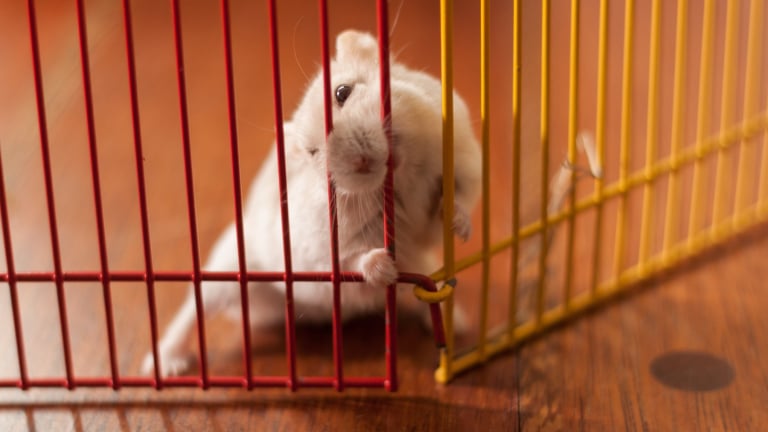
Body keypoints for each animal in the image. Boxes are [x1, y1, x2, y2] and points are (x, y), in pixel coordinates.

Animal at [141, 30, 482, 376]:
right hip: (226, 272)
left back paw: (458, 326)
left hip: (424, 267)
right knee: (191, 312)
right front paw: (385, 264)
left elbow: (459, 199)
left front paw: (459, 226)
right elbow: (351, 261)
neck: (398, 179)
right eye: (313, 152)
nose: (358, 162)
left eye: (343, 92)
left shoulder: (463, 158)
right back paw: (166, 364)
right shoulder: (318, 252)